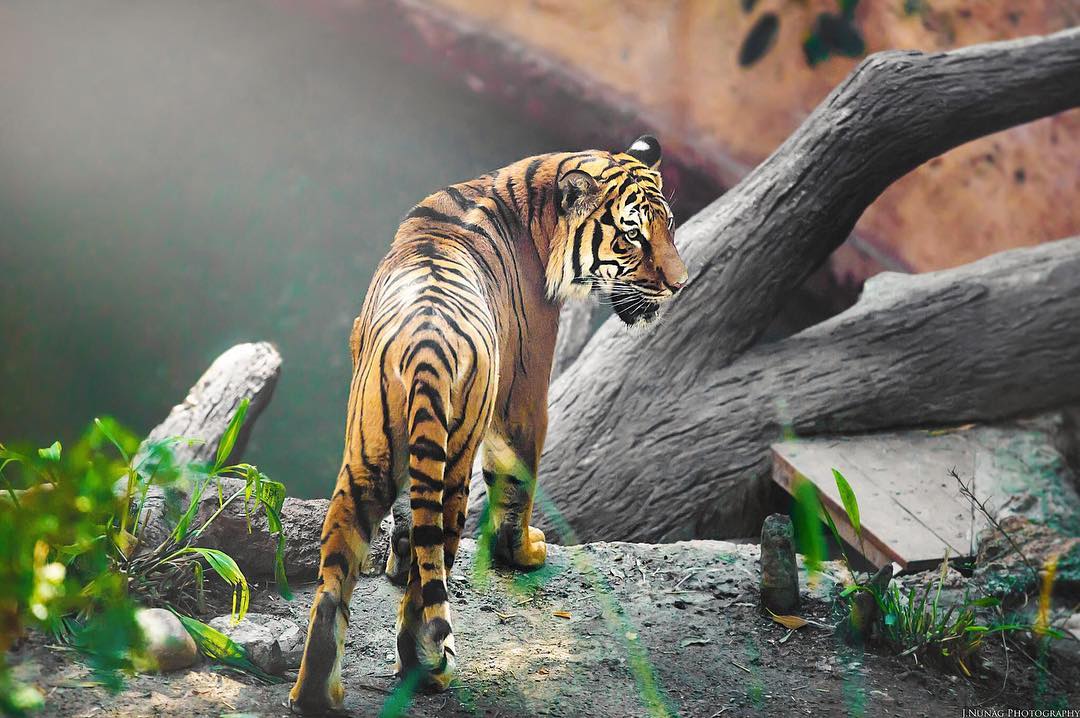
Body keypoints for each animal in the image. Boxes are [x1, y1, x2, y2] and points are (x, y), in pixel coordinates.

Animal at [289, 135, 687, 714]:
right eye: (632, 234)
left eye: (668, 226)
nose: (681, 285)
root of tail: (426, 347)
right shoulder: (525, 390)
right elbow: (518, 483)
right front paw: (523, 553)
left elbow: (406, 526)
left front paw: (395, 559)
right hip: (453, 469)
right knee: (429, 584)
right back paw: (425, 672)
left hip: (364, 462)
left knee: (333, 588)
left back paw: (315, 695)